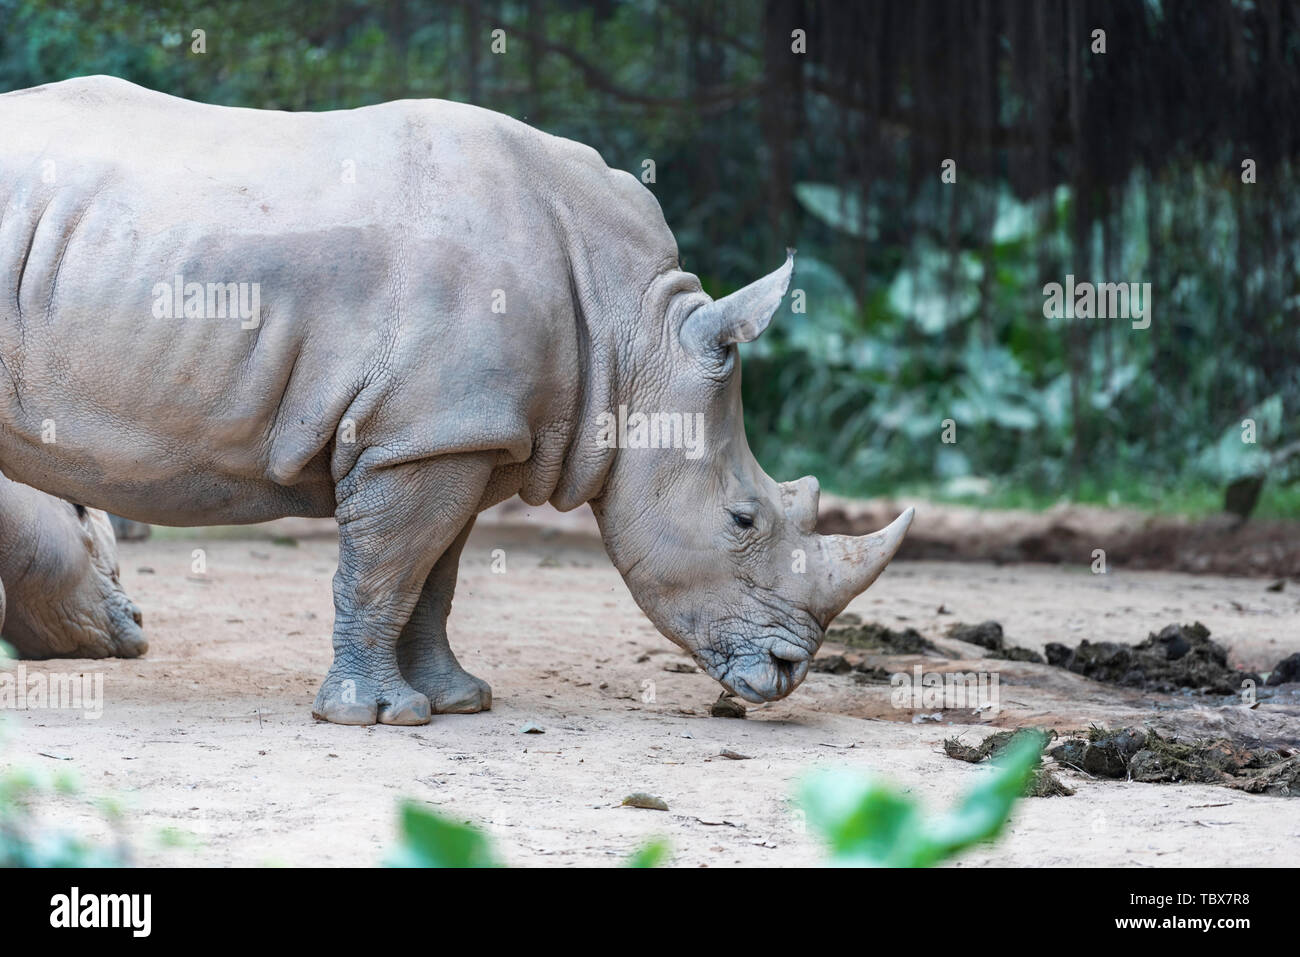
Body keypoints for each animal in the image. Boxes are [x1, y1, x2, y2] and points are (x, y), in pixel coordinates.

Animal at [0, 76, 912, 725]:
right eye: (743, 518)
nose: (790, 672)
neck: (634, 337)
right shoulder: (420, 434)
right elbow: (385, 570)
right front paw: (374, 717)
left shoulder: (463, 434)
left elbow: (432, 576)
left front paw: (457, 701)